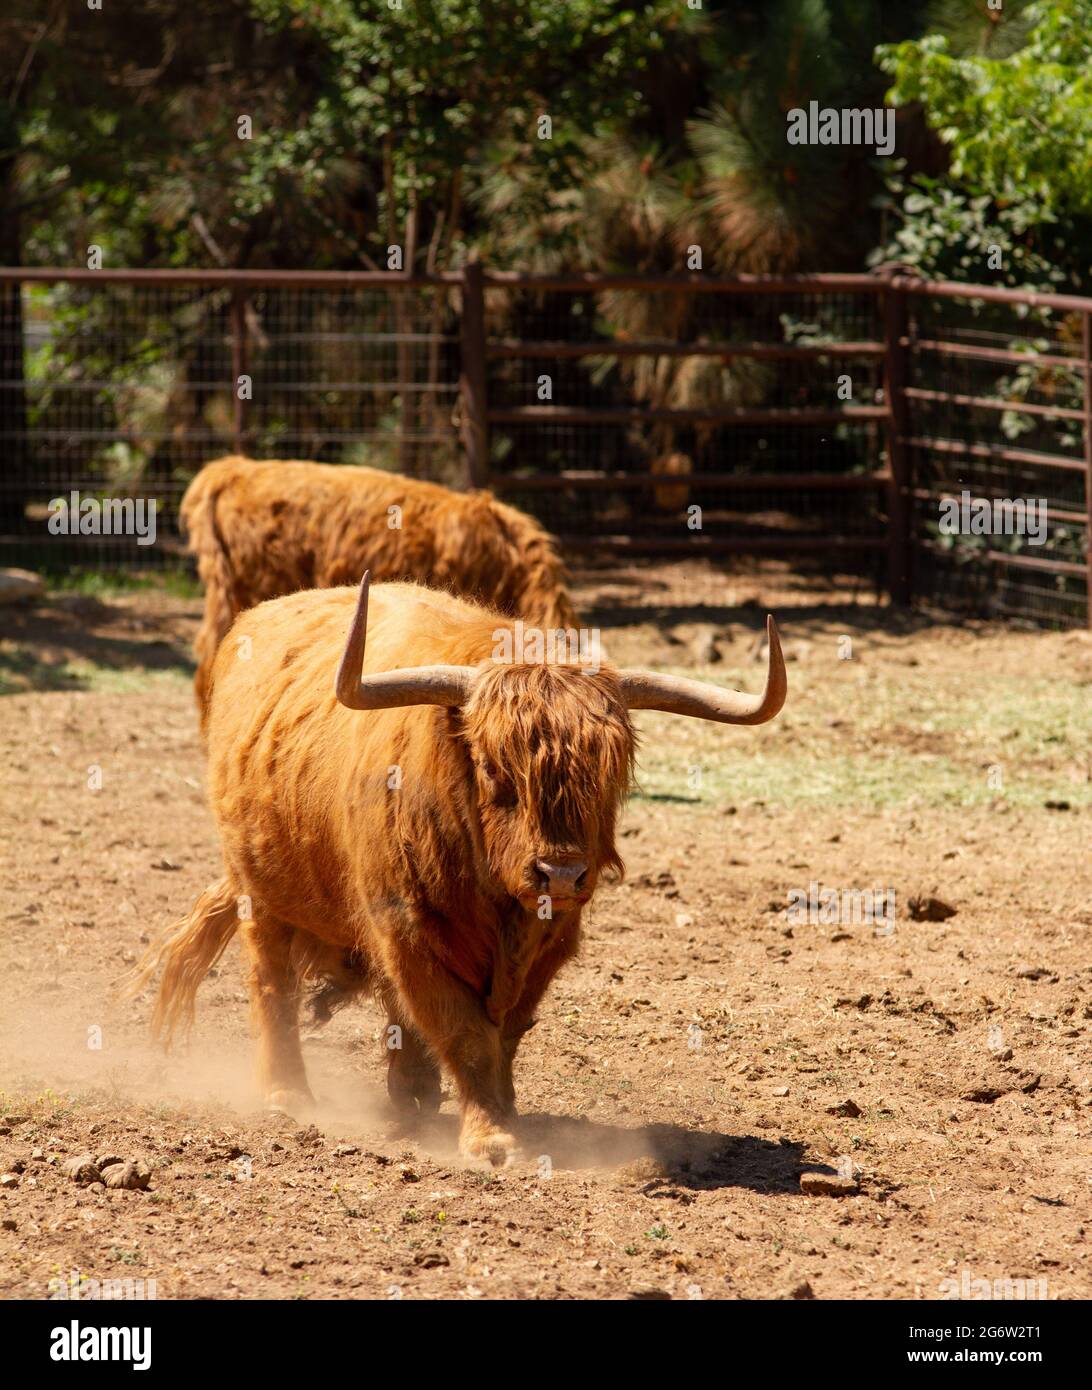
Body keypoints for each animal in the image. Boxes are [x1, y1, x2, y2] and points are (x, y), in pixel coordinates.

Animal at [136, 575, 785, 1165]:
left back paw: (411, 1092)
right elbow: (463, 1032)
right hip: (261, 892)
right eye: (495, 770)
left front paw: (503, 1110)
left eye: (609, 771)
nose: (561, 875)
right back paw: (286, 1095)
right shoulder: (405, 927)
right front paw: (491, 1138)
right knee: (273, 984)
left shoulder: (552, 940)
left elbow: (506, 1033)